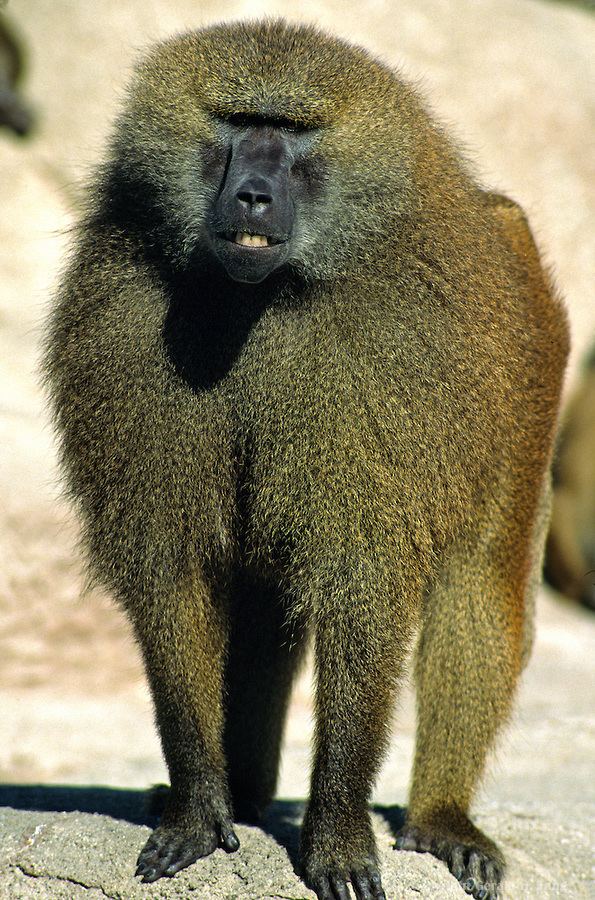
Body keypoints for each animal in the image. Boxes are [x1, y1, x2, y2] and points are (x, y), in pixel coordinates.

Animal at [42, 19, 569, 900]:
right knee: (261, 613)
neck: (262, 294)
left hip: (528, 376)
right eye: (236, 123)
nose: (252, 194)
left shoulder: (382, 362)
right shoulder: (123, 311)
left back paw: (441, 822)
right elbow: (172, 569)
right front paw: (198, 809)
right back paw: (247, 795)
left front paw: (336, 838)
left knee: (480, 584)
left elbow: (363, 582)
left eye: (289, 134)